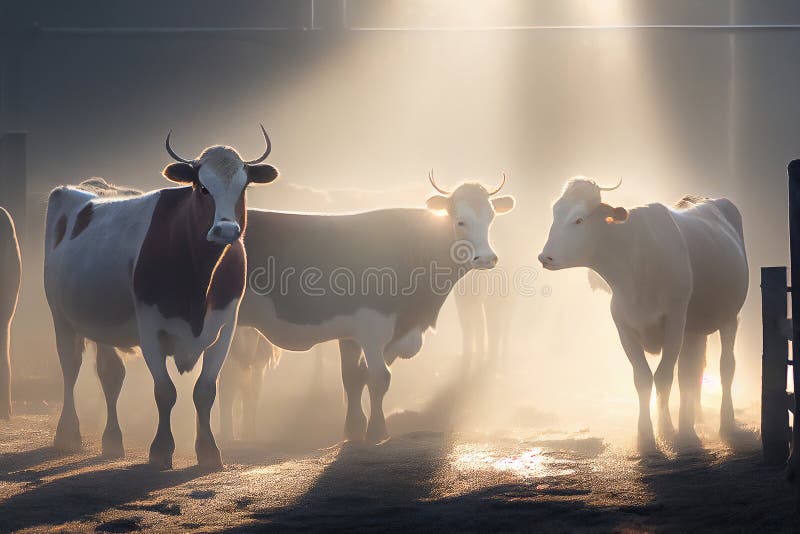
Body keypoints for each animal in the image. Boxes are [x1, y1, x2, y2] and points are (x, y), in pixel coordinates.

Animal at [43, 128, 279, 469]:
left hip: (102, 321)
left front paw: (209, 452)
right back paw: (67, 435)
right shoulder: (151, 329)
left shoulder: (225, 328)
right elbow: (165, 392)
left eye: (243, 187)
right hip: (60, 315)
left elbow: (205, 391)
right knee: (70, 367)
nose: (225, 230)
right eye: (202, 188)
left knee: (110, 375)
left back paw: (112, 441)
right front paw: (161, 450)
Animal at [237, 171, 515, 443]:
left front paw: (354, 428)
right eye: (460, 221)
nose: (487, 258)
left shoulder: (366, 332)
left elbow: (354, 377)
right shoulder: (372, 328)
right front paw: (376, 431)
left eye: (490, 217)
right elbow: (379, 378)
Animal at [538, 177, 748, 452]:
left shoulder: (675, 322)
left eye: (579, 219)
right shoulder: (624, 327)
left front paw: (666, 429)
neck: (633, 264)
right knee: (693, 371)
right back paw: (695, 420)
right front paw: (646, 434)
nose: (545, 256)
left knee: (725, 367)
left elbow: (664, 377)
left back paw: (723, 423)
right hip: (695, 331)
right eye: (554, 214)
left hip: (729, 318)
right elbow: (643, 379)